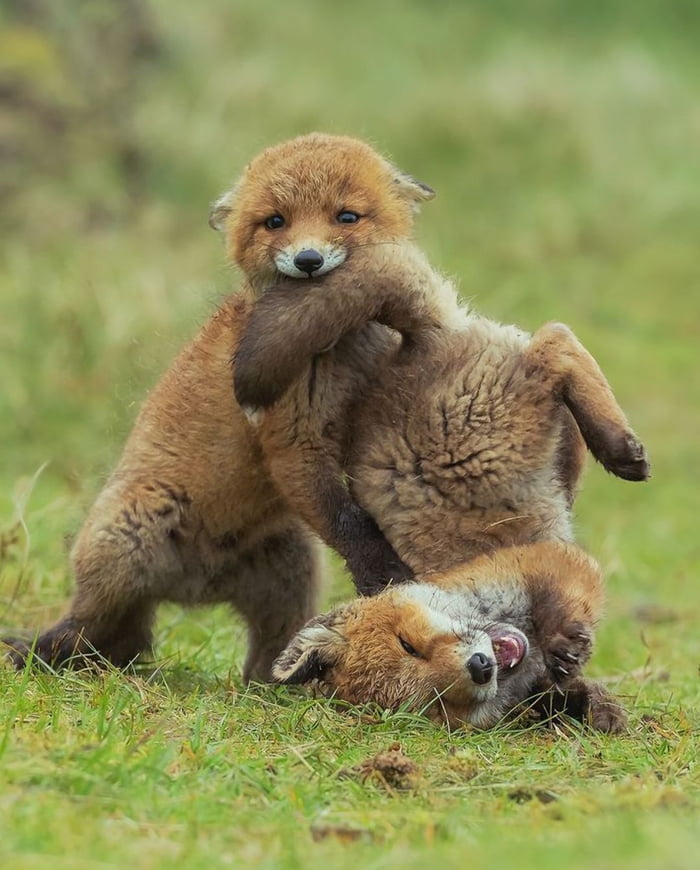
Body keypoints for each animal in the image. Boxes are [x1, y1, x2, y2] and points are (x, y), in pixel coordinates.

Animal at [3, 134, 454, 680]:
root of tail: (197, 592)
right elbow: (350, 522)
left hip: (294, 571)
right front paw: (385, 577)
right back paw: (52, 652)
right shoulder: (292, 438)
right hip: (133, 534)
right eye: (275, 221)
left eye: (346, 216)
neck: (344, 351)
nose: (308, 260)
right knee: (92, 624)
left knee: (254, 654)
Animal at [272, 540, 627, 732]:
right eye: (437, 701)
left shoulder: (543, 560)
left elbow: (561, 592)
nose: (480, 668)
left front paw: (567, 651)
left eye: (407, 645)